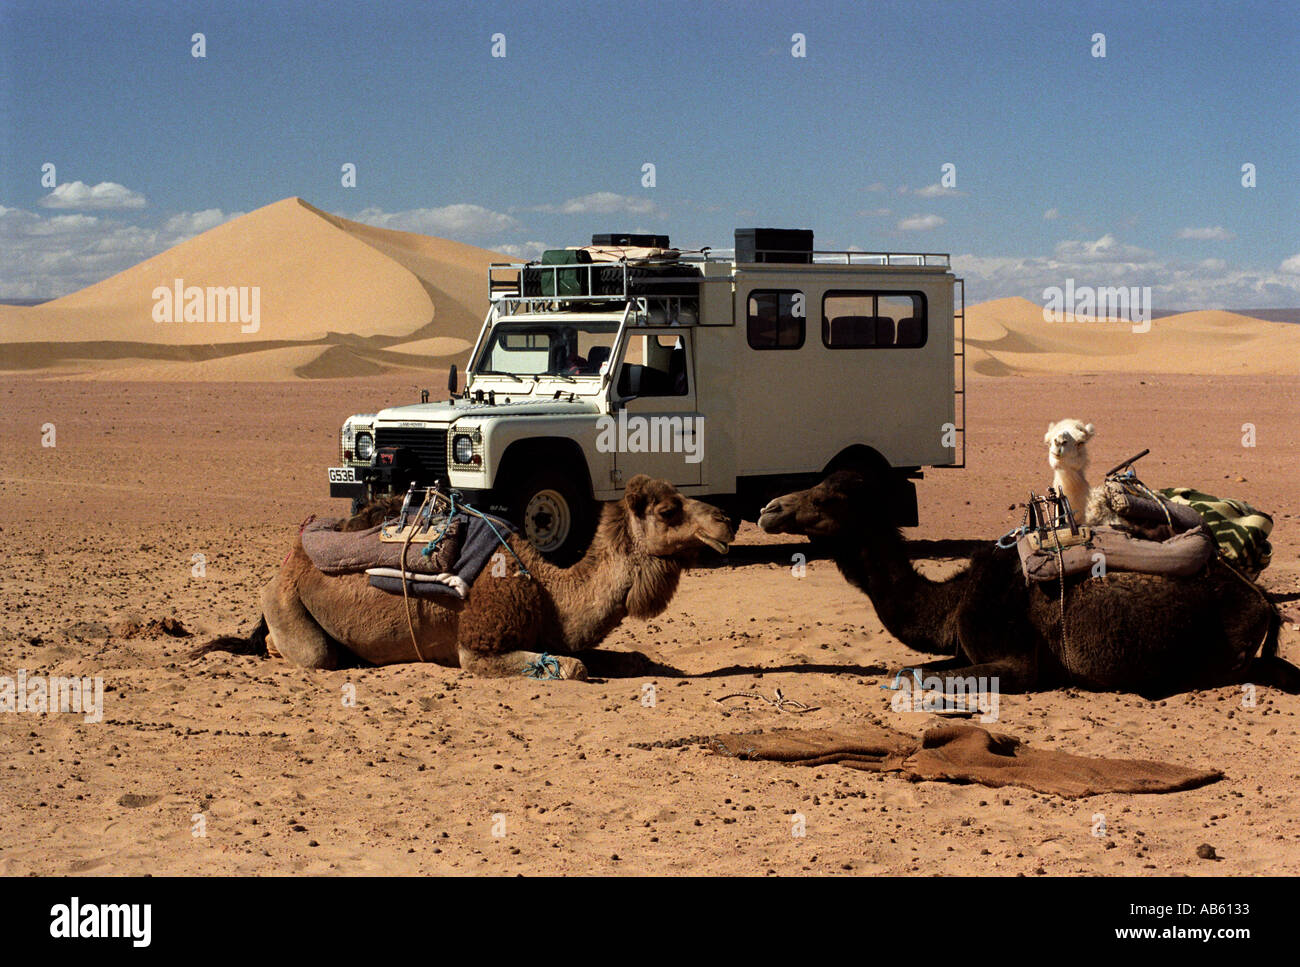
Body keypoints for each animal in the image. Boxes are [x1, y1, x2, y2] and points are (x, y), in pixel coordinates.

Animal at [194, 475, 734, 680]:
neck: (549, 590)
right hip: (286, 603)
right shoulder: (477, 648)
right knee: (311, 653)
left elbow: (614, 657)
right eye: (668, 511)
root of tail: (287, 563)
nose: (727, 520)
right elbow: (575, 667)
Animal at [758, 469, 1298, 697]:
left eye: (825, 499)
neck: (953, 601)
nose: (769, 508)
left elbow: (916, 677)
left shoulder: (1016, 662)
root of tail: (1264, 602)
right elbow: (913, 668)